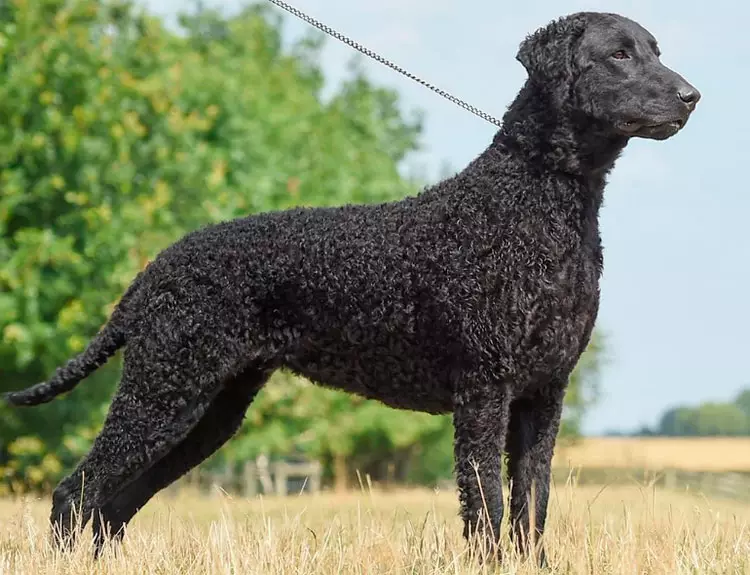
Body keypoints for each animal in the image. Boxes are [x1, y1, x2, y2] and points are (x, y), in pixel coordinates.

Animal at [4, 11, 700, 564]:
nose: (692, 96)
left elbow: (533, 507)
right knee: (76, 493)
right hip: (164, 389)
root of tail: (154, 271)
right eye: (620, 54)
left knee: (112, 505)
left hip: (206, 409)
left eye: (656, 48)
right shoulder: (485, 389)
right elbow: (487, 508)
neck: (537, 200)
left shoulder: (544, 392)